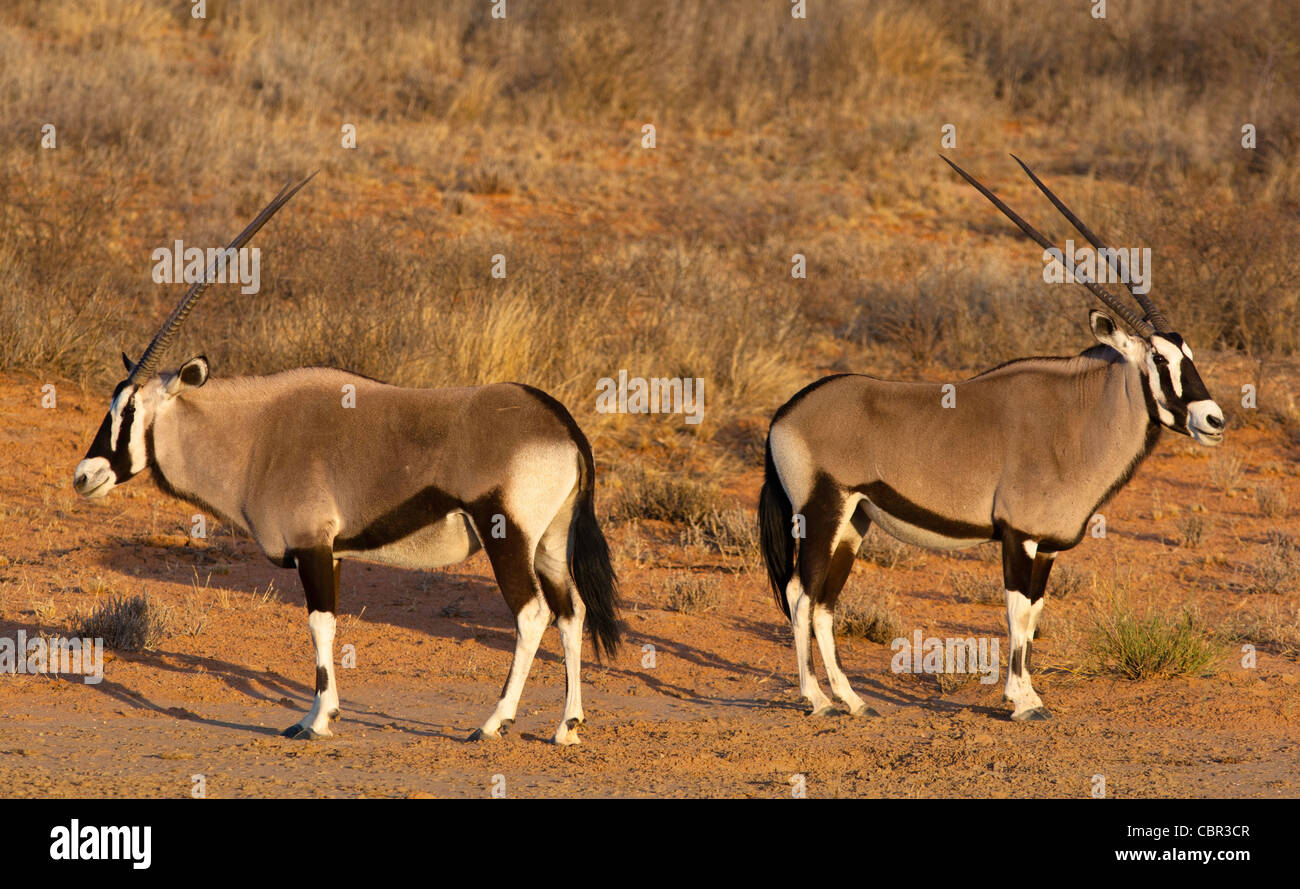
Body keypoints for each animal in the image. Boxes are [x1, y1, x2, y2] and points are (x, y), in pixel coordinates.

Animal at [73, 177, 621, 745]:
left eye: (130, 410)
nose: (84, 476)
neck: (256, 435)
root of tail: (560, 424)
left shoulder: (312, 546)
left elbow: (319, 624)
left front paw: (316, 719)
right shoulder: (330, 551)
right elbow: (329, 625)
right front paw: (320, 714)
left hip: (507, 535)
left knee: (532, 613)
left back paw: (493, 722)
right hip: (550, 541)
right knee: (571, 611)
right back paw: (567, 725)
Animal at [759, 156, 1225, 722]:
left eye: (1189, 354)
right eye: (1159, 358)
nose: (1212, 419)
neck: (1077, 416)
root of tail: (786, 412)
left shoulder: (1046, 547)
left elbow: (1034, 614)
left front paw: (1029, 695)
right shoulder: (1017, 536)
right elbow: (1016, 613)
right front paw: (1021, 702)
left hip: (854, 522)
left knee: (824, 603)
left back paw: (852, 700)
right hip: (821, 512)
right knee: (800, 594)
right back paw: (817, 700)